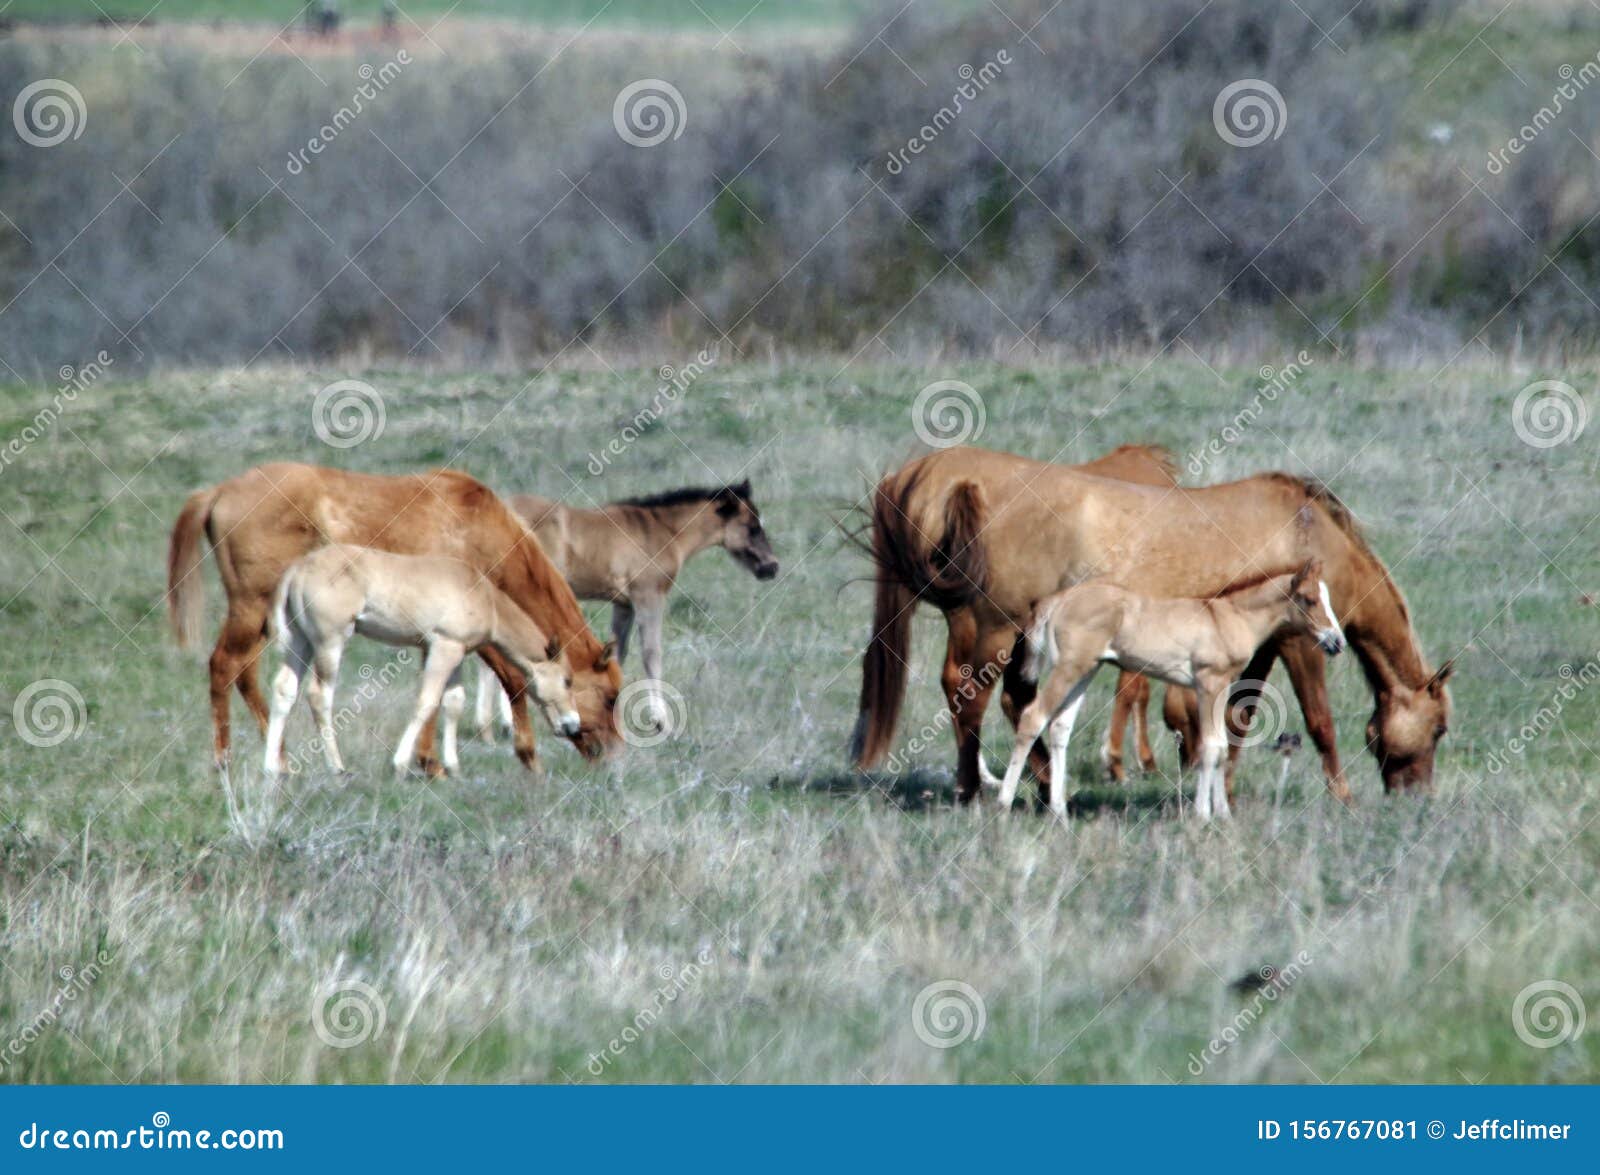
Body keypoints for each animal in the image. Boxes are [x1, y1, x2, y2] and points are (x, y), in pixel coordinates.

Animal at [265, 545, 581, 779]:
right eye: (567, 680)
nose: (572, 725)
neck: (484, 595)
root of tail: (297, 569)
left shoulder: (453, 652)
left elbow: (453, 703)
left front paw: (453, 768)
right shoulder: (444, 648)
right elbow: (426, 702)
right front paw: (400, 765)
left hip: (300, 643)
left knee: (284, 690)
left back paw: (273, 769)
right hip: (330, 643)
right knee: (319, 695)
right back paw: (337, 767)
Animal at [475, 480, 779, 737]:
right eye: (752, 527)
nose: (772, 567)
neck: (661, 533)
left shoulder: (623, 605)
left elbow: (617, 654)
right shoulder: (649, 596)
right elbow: (651, 655)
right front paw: (662, 722)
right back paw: (502, 726)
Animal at [999, 560, 1345, 820]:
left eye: (1329, 598)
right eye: (1309, 599)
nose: (1337, 642)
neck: (1229, 618)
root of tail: (1058, 600)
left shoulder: (1223, 687)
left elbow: (1222, 746)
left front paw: (1223, 814)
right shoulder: (1208, 682)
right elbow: (1210, 747)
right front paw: (1202, 815)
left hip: (1086, 669)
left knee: (1059, 727)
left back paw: (1059, 811)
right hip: (1070, 668)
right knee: (1033, 718)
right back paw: (1004, 804)